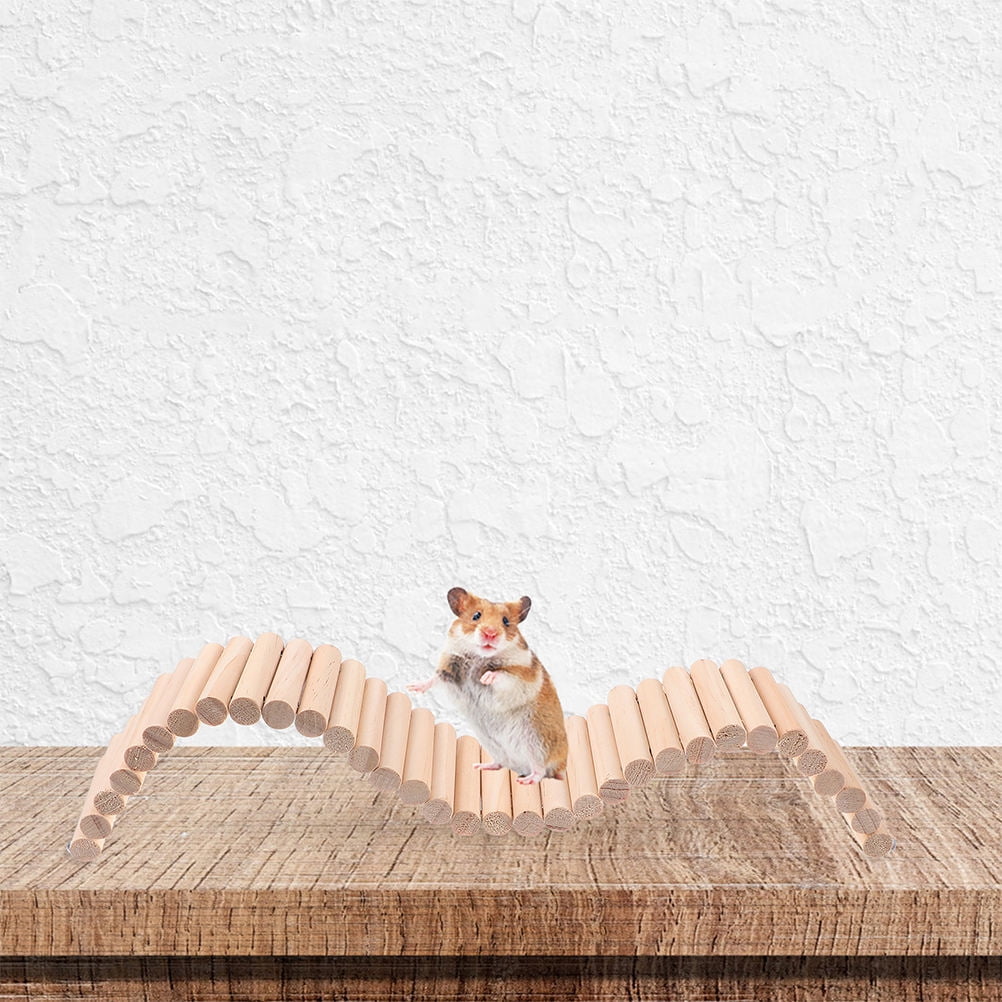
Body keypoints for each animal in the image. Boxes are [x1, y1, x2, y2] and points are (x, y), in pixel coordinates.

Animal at [407, 586, 568, 785]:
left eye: (506, 621)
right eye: (476, 616)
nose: (490, 633)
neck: (479, 656)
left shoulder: (521, 677)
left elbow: (502, 675)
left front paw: (485, 678)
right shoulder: (449, 669)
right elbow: (434, 678)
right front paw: (412, 687)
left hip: (537, 743)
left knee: (540, 770)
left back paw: (526, 780)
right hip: (494, 745)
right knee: (501, 763)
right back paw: (481, 766)